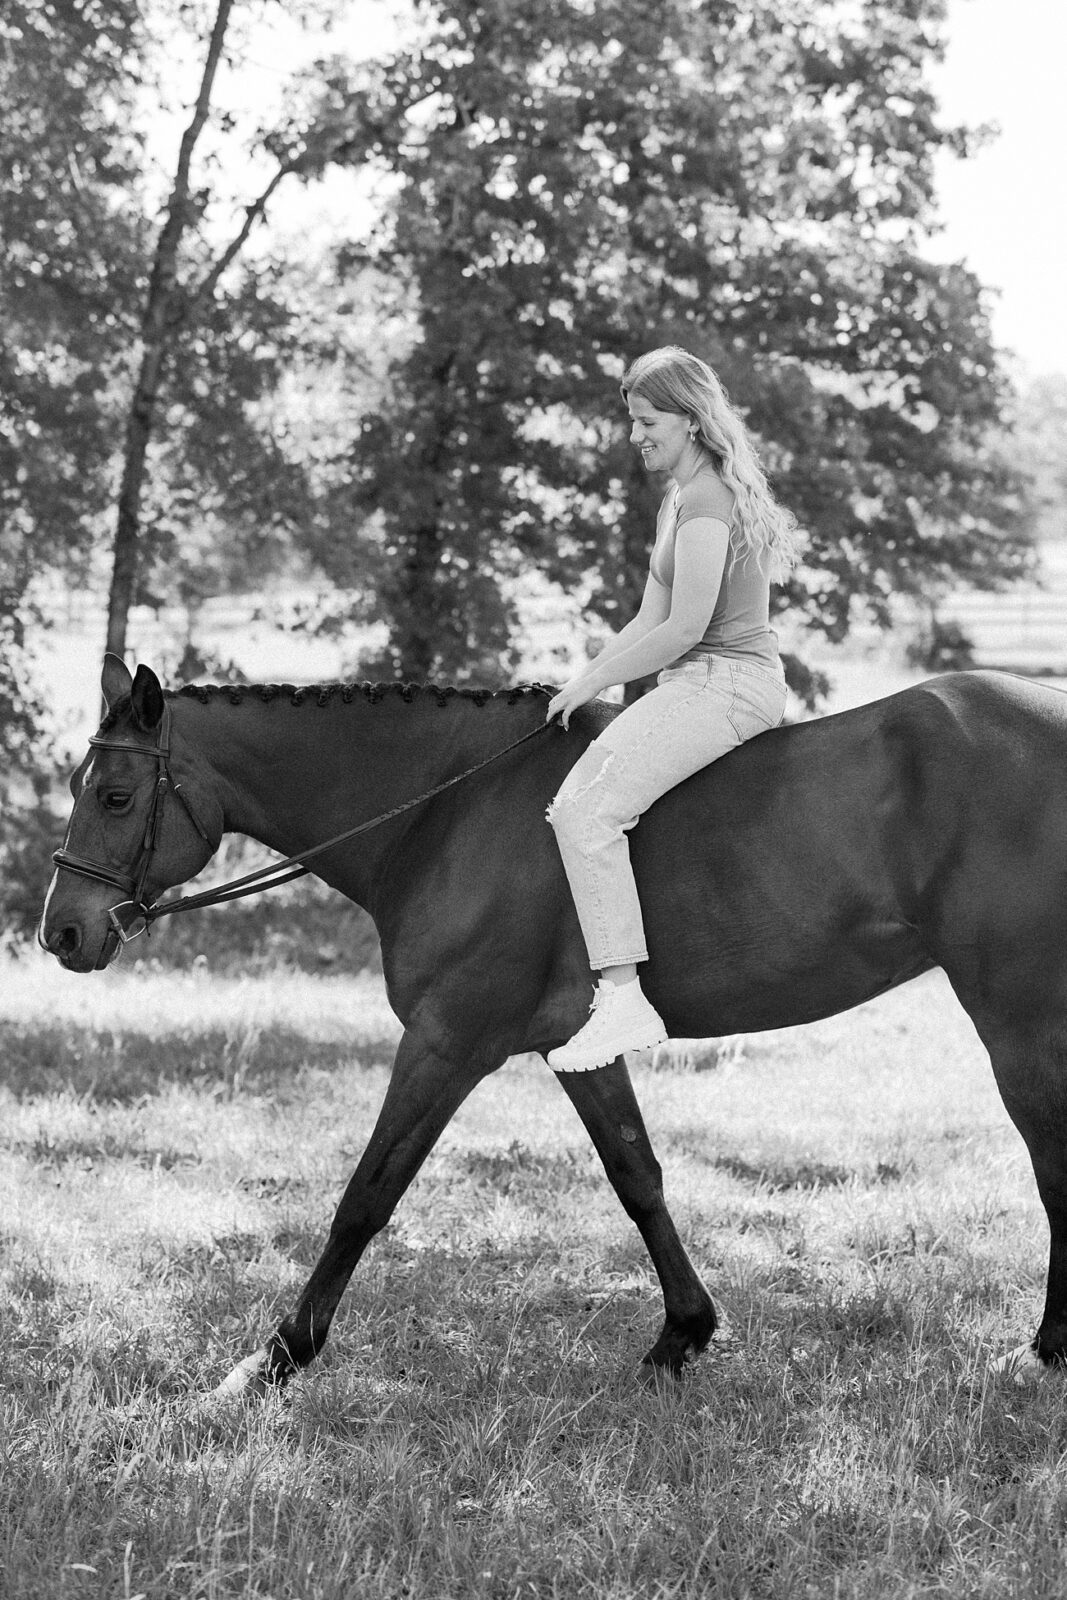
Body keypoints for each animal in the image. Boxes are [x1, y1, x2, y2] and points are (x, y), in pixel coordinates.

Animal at [39, 655, 1067, 1395]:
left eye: (116, 797)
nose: (62, 932)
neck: (447, 809)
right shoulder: (577, 1050)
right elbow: (637, 1177)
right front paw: (680, 1337)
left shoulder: (446, 1043)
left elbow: (366, 1196)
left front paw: (280, 1355)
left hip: (1016, 1019)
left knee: (1051, 1166)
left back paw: (1044, 1350)